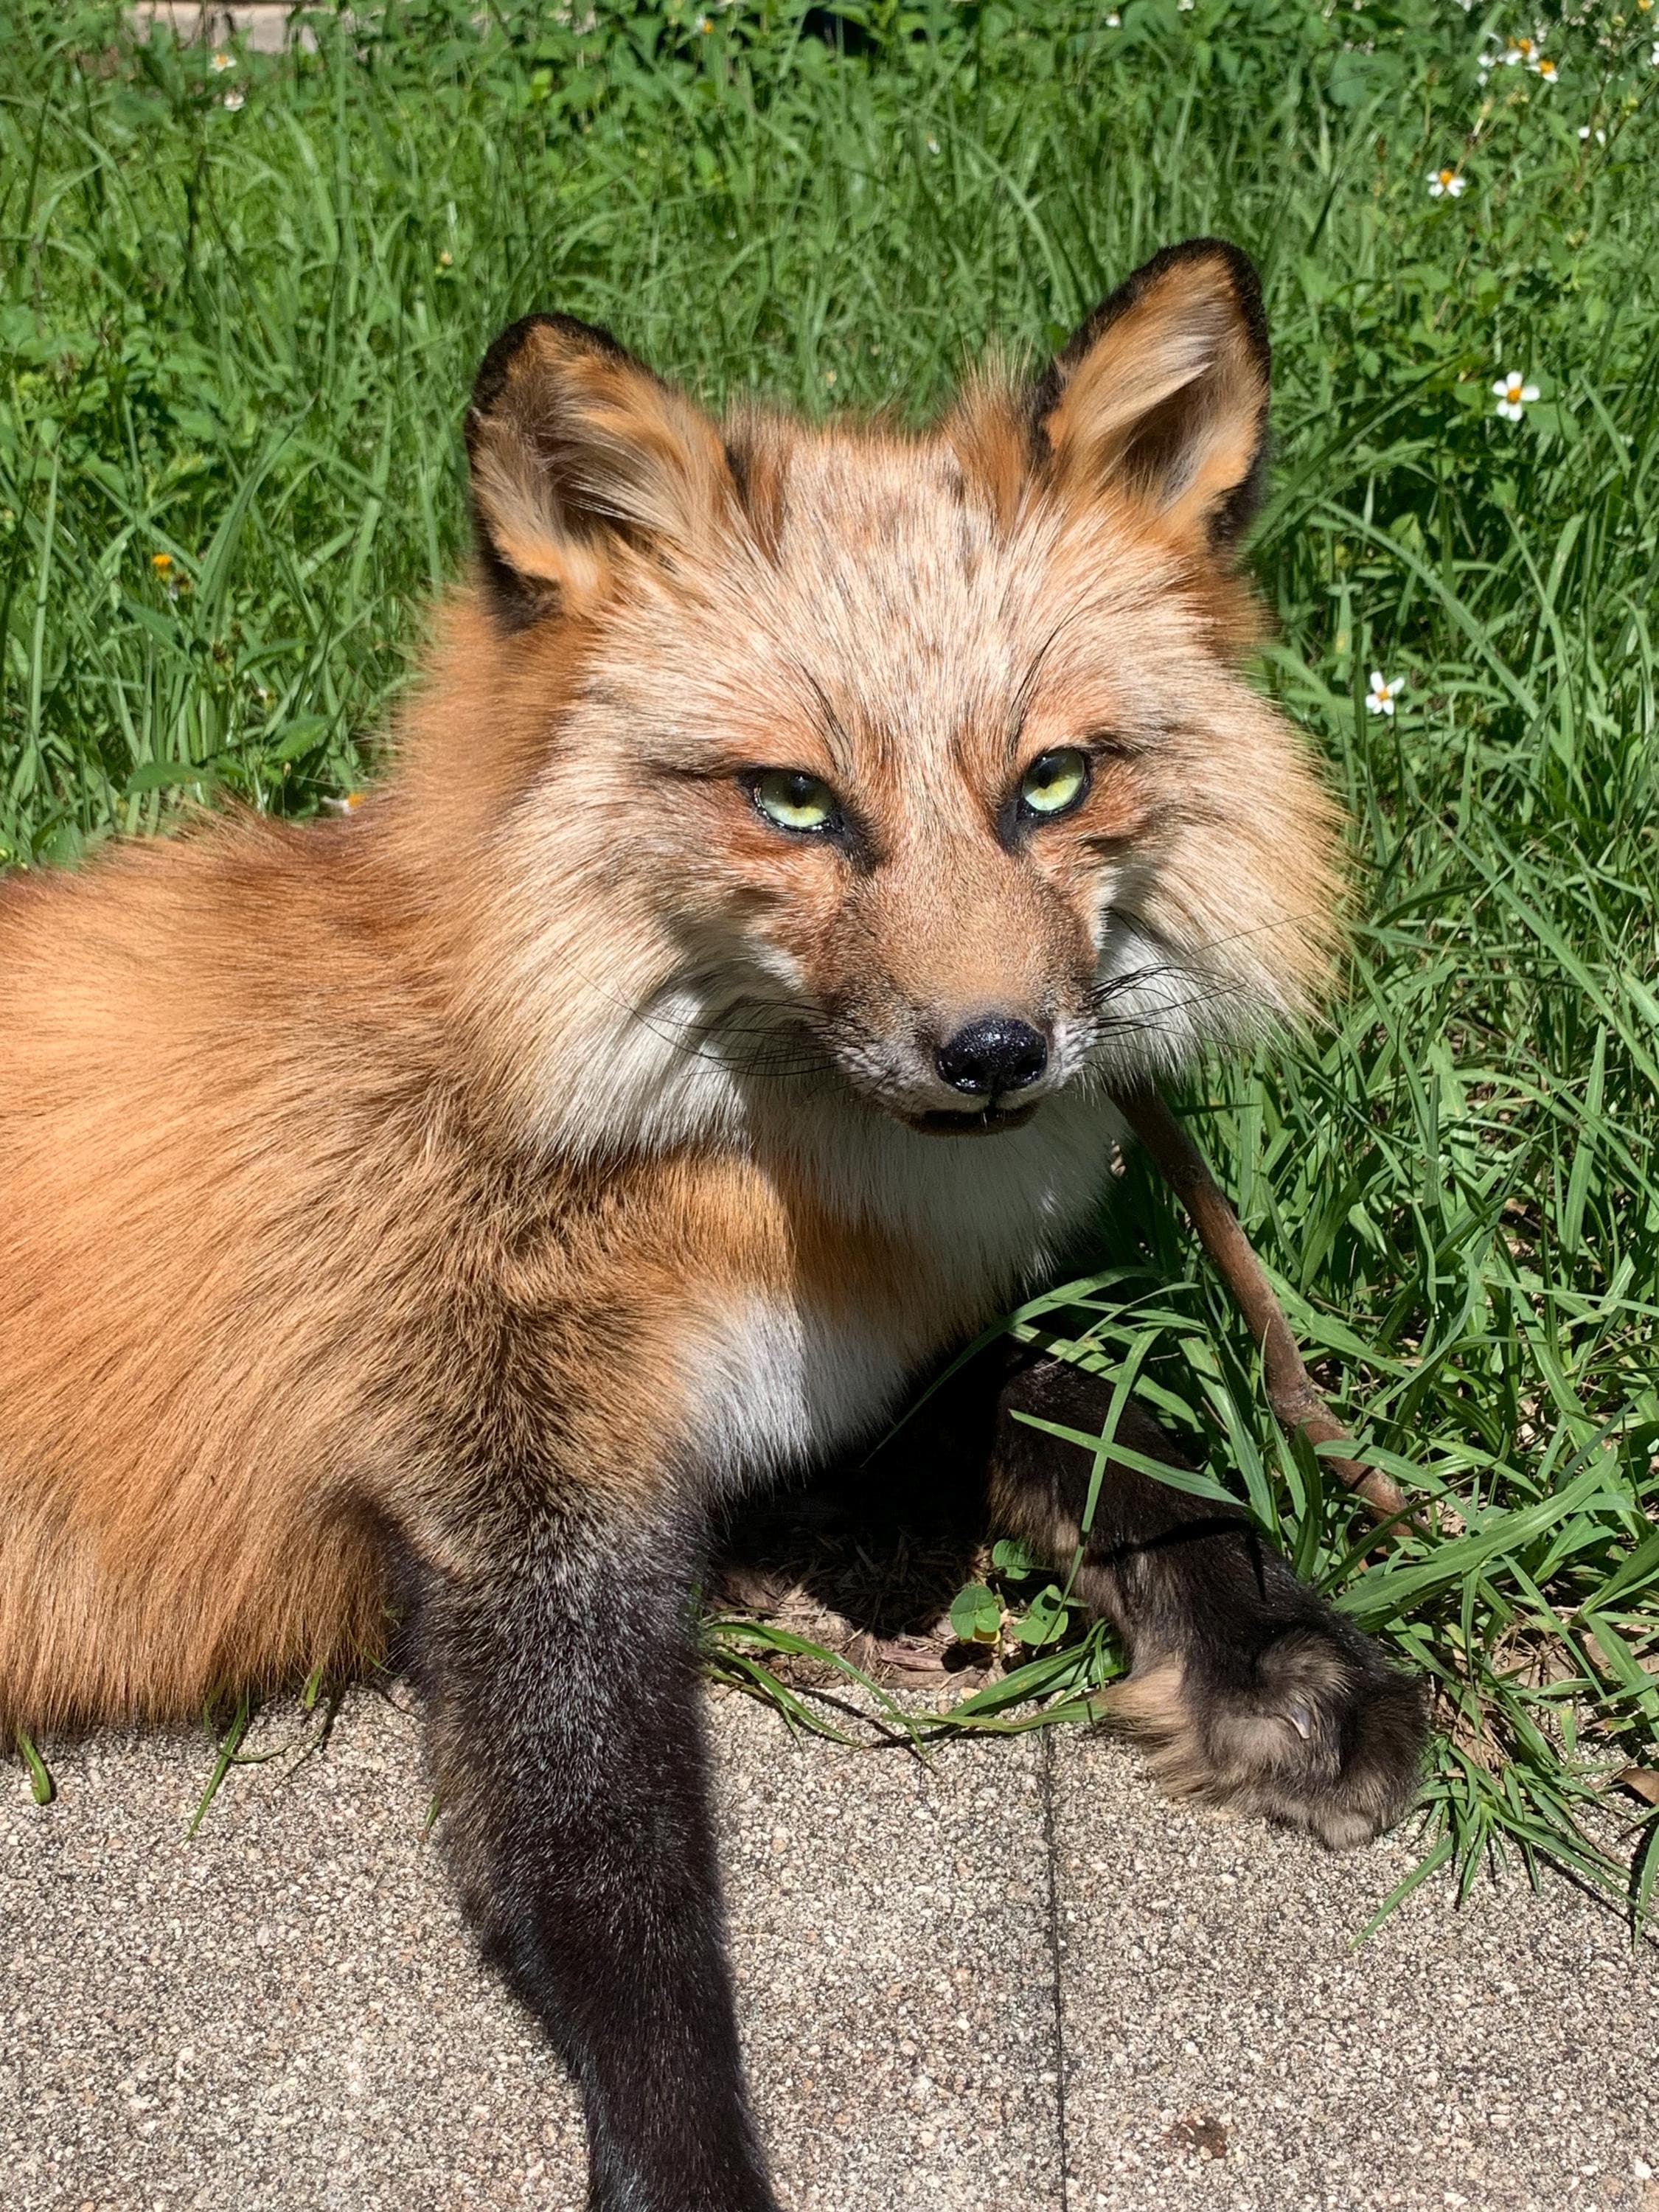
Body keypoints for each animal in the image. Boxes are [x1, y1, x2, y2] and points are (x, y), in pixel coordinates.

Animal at [0, 239, 1425, 2209]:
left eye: (1053, 783)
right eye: (795, 800)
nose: (995, 1051)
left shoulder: (808, 1412)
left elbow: (1099, 1414)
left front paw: (1273, 1644)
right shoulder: (517, 1518)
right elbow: (628, 1898)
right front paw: (688, 2168)